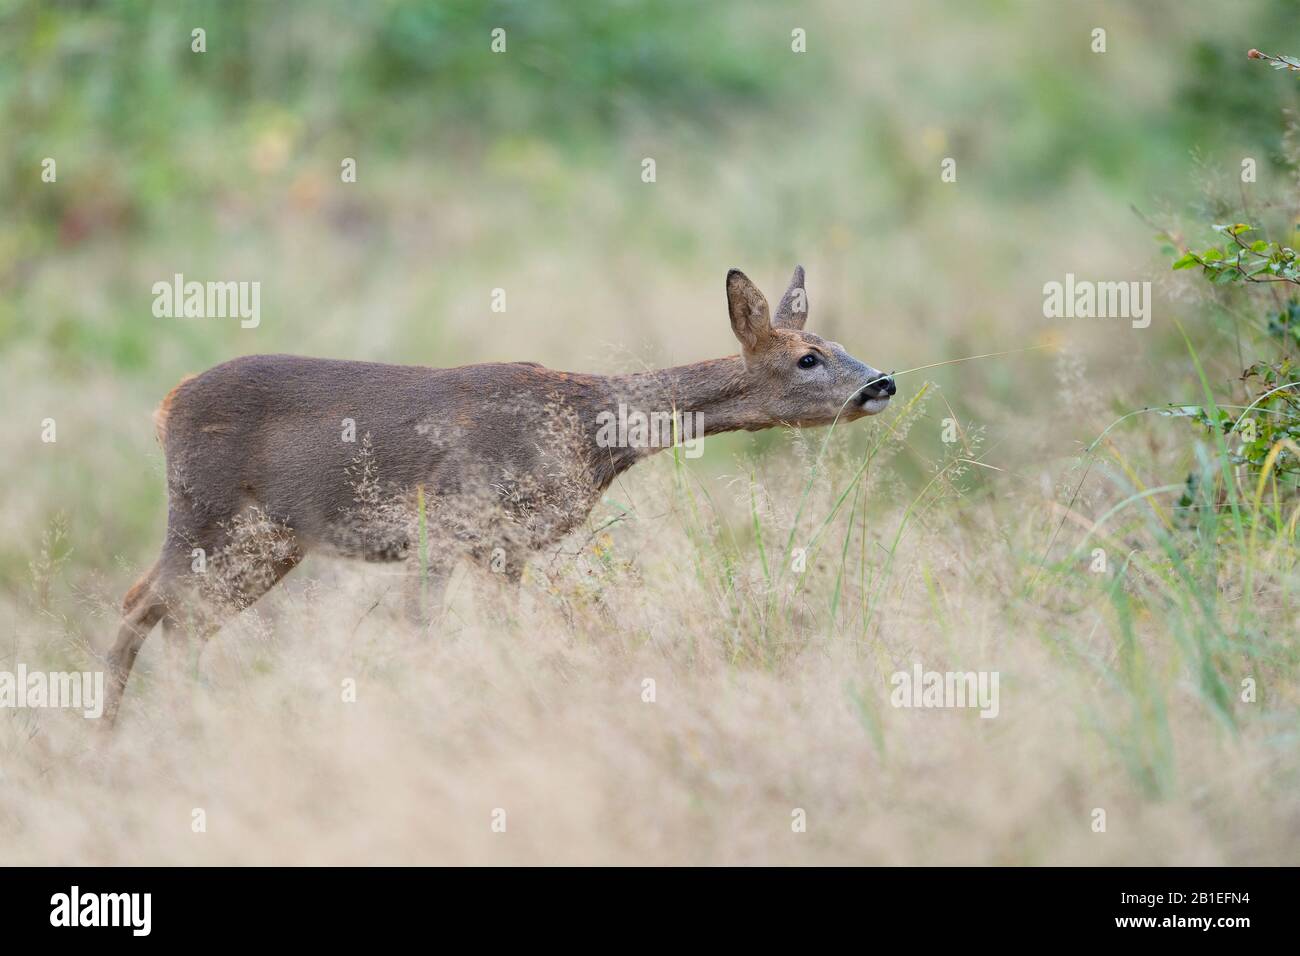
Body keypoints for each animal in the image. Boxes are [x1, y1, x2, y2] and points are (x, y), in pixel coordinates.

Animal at [103, 266, 896, 723]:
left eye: (837, 346)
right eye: (809, 358)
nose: (882, 382)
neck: (591, 428)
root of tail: (165, 407)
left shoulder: (506, 548)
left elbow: (502, 634)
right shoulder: (448, 521)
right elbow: (420, 631)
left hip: (272, 540)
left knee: (186, 618)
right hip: (205, 508)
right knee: (144, 601)